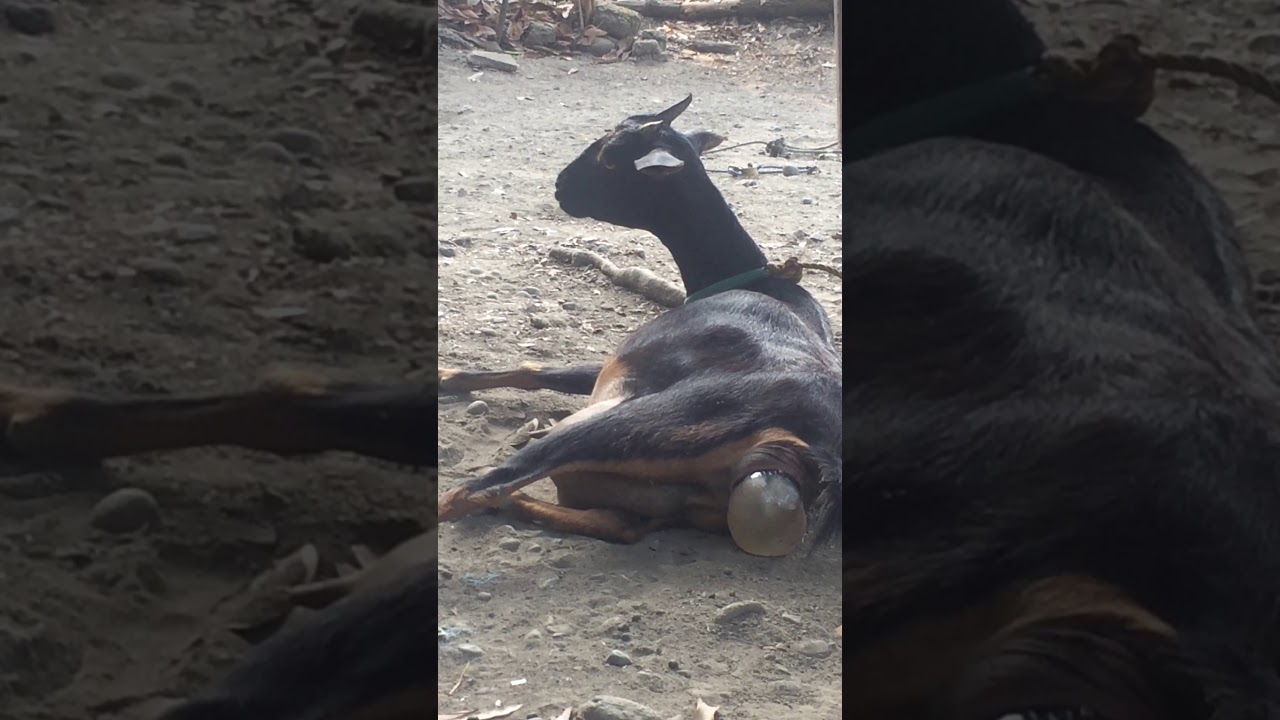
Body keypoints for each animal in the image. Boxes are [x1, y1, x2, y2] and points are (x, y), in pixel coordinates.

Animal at [438, 95, 841, 557]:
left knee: (479, 487)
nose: (560, 187)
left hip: (639, 425)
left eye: (611, 155)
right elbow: (533, 369)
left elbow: (540, 368)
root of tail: (801, 448)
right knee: (618, 524)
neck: (753, 278)